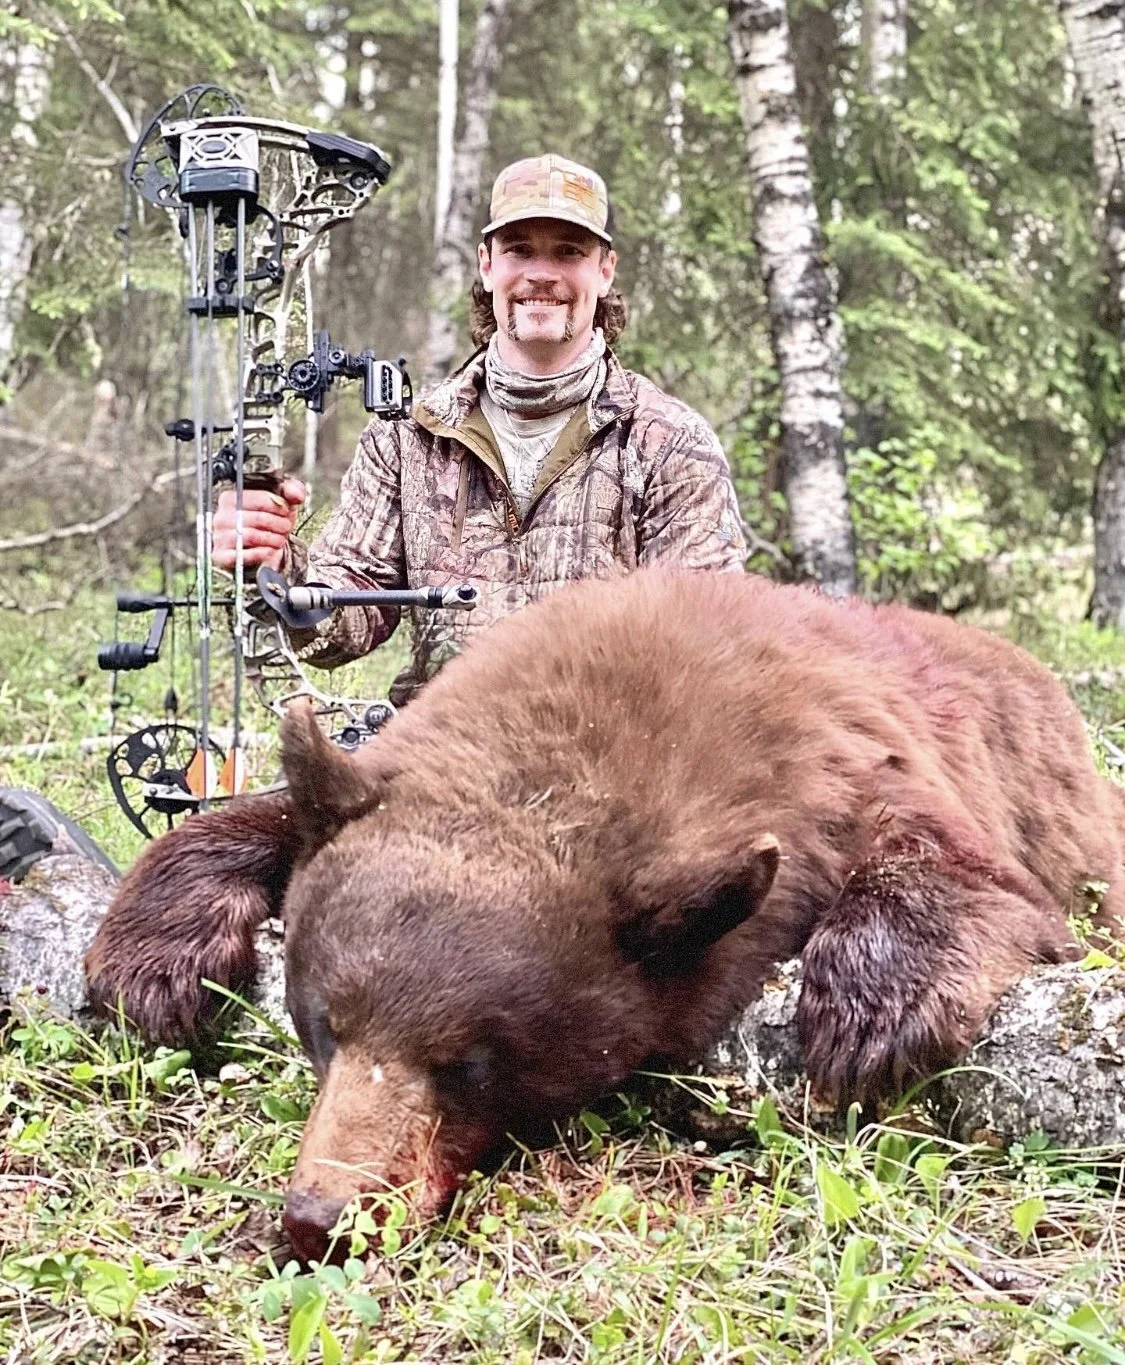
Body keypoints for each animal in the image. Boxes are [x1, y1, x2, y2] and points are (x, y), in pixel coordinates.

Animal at [85, 568, 1125, 1263]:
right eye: (323, 1025)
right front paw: (153, 955)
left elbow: (979, 879)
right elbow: (260, 814)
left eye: (469, 1063)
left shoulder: (856, 765)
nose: (324, 1218)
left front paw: (873, 1010)